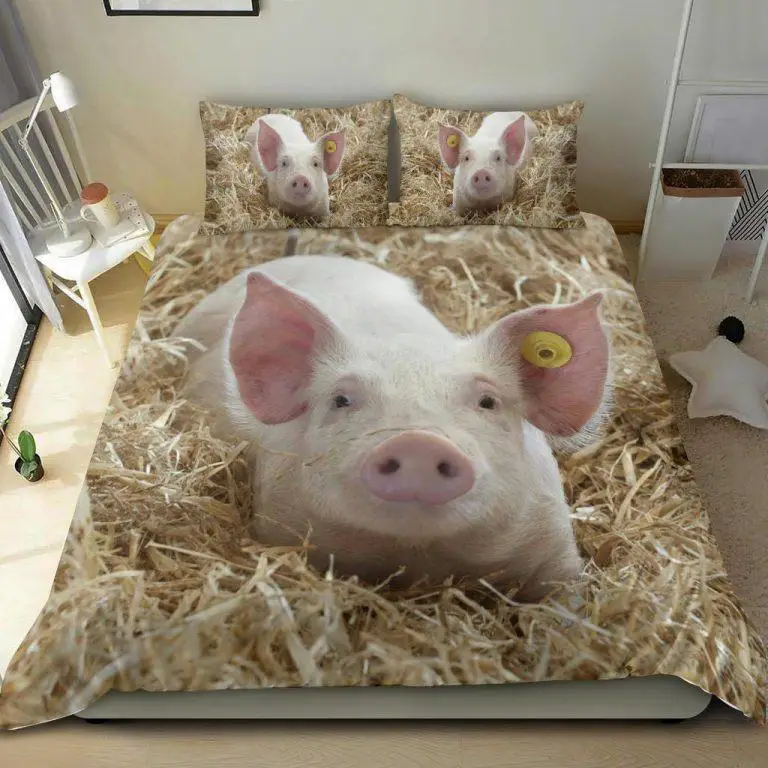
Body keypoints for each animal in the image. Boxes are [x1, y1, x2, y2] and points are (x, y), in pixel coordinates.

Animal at [176, 256, 610, 600]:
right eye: (341, 400)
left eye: (488, 402)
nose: (419, 441)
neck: (417, 554)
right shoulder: (280, 524)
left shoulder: (554, 545)